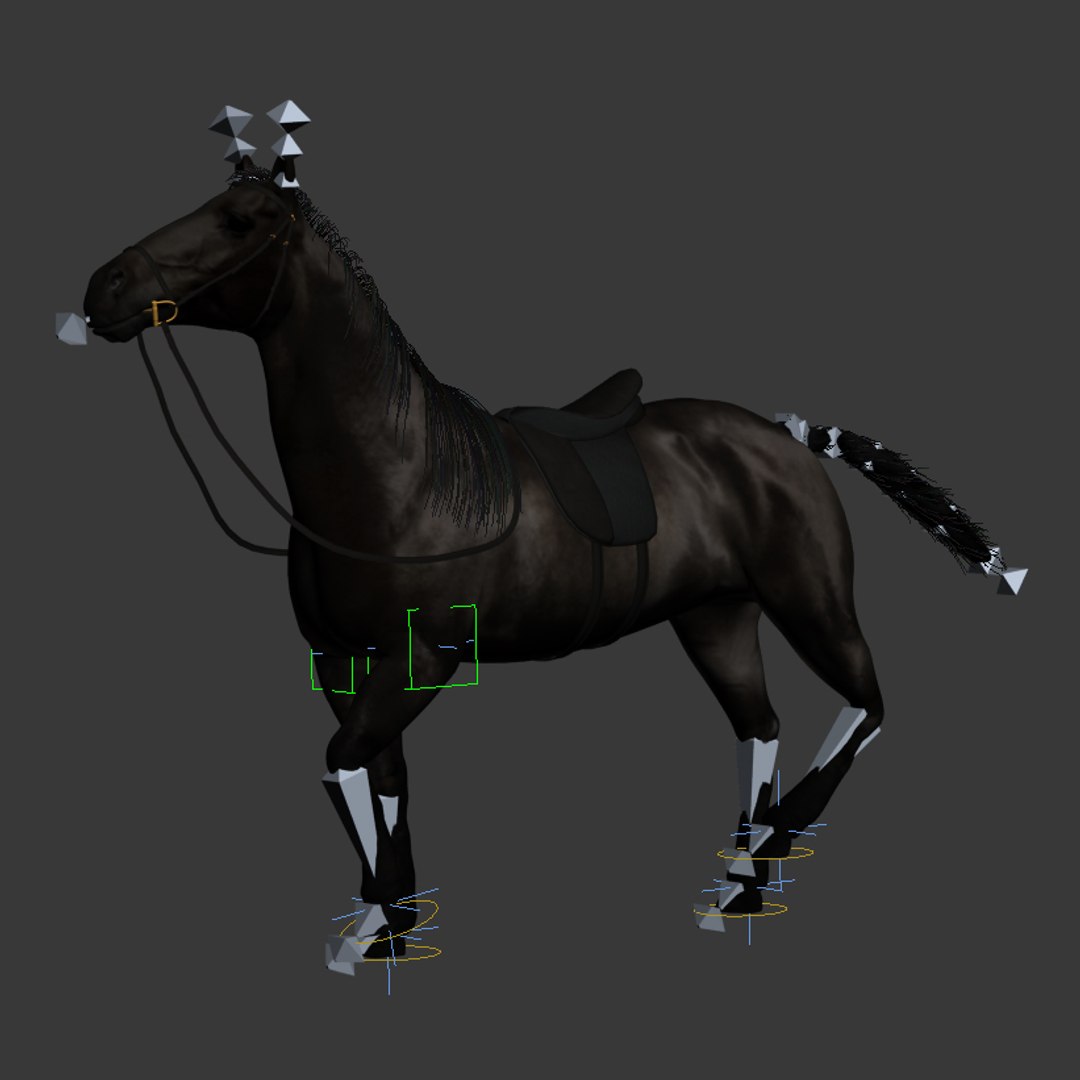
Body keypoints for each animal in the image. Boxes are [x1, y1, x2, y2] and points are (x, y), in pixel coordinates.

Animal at [82, 148, 1024, 966]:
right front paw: (388, 924)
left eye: (238, 221)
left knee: (866, 707)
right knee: (761, 725)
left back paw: (766, 856)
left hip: (811, 601)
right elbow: (381, 780)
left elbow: (343, 765)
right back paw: (738, 888)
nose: (104, 287)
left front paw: (373, 932)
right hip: (716, 618)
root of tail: (786, 436)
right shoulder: (344, 660)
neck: (395, 471)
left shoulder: (420, 658)